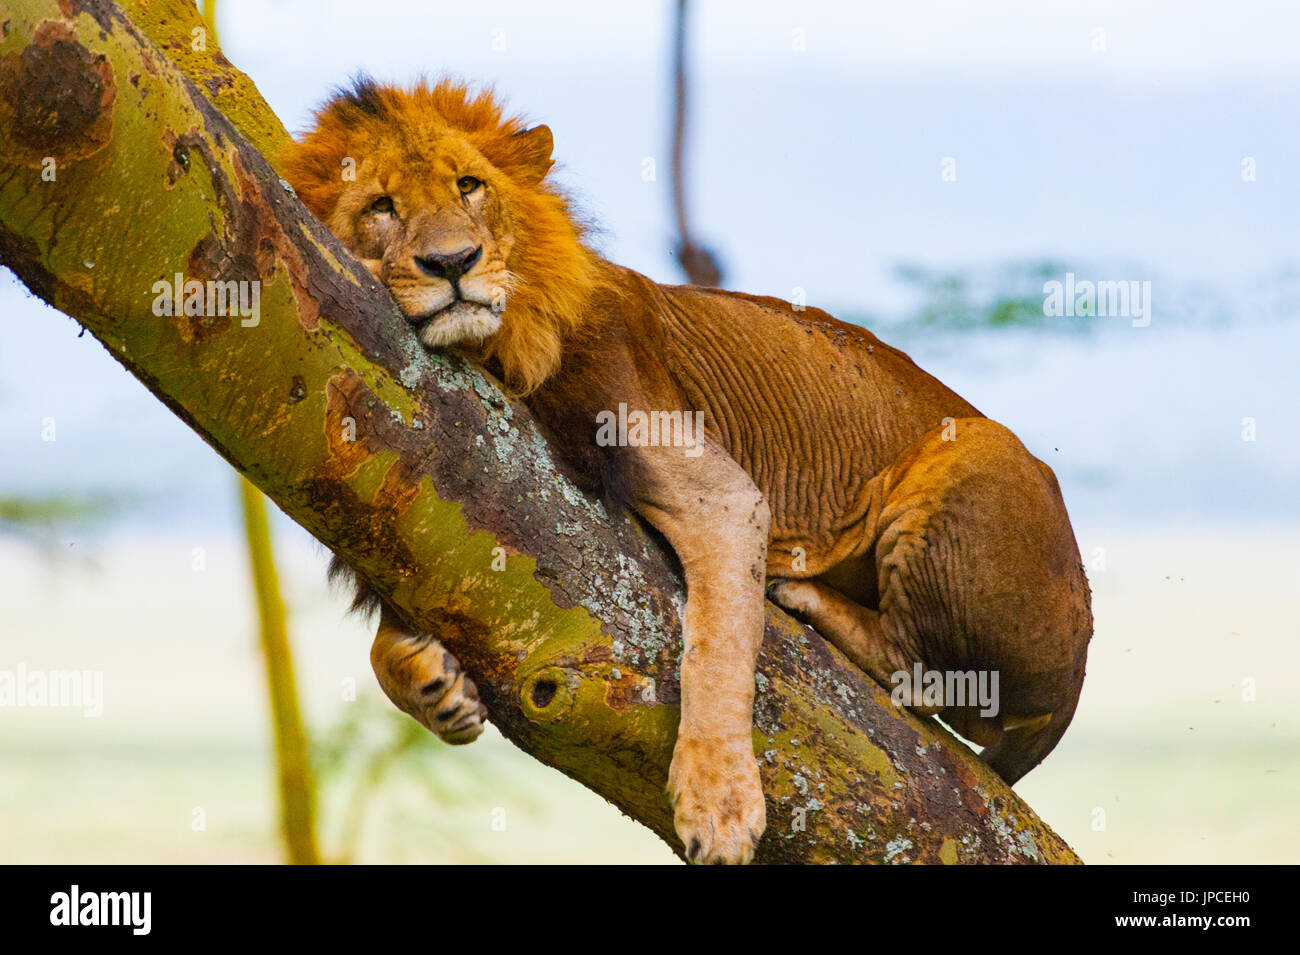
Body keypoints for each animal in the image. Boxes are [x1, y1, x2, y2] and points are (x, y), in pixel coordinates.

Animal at [283, 77, 1093, 865]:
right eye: (382, 207)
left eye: (469, 186)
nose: (453, 264)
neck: (497, 350)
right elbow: (387, 641)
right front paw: (432, 681)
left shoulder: (715, 489)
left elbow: (717, 653)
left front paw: (720, 804)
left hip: (977, 453)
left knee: (923, 670)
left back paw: (802, 590)